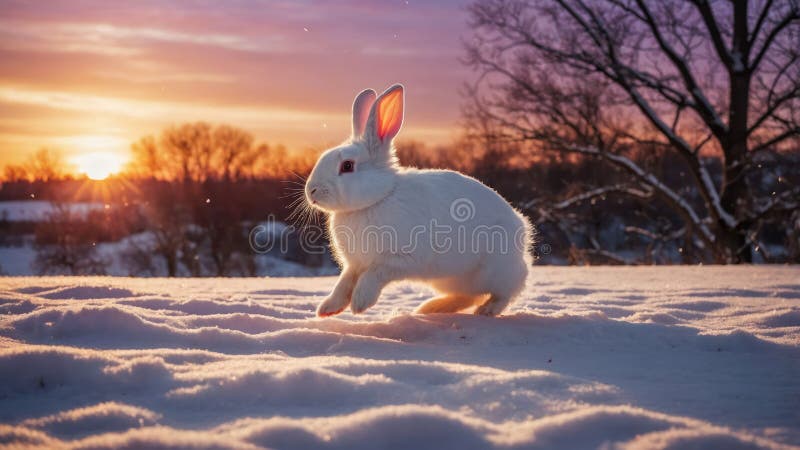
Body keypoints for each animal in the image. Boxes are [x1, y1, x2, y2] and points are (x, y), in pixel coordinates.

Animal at [305, 84, 533, 317]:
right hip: (451, 280)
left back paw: (486, 310)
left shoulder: (402, 258)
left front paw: (360, 302)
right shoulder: (356, 264)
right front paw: (328, 308)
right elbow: (344, 282)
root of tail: (521, 228)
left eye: (347, 166)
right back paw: (432, 308)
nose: (311, 191)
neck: (380, 197)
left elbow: (375, 274)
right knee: (469, 295)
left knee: (509, 289)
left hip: (494, 269)